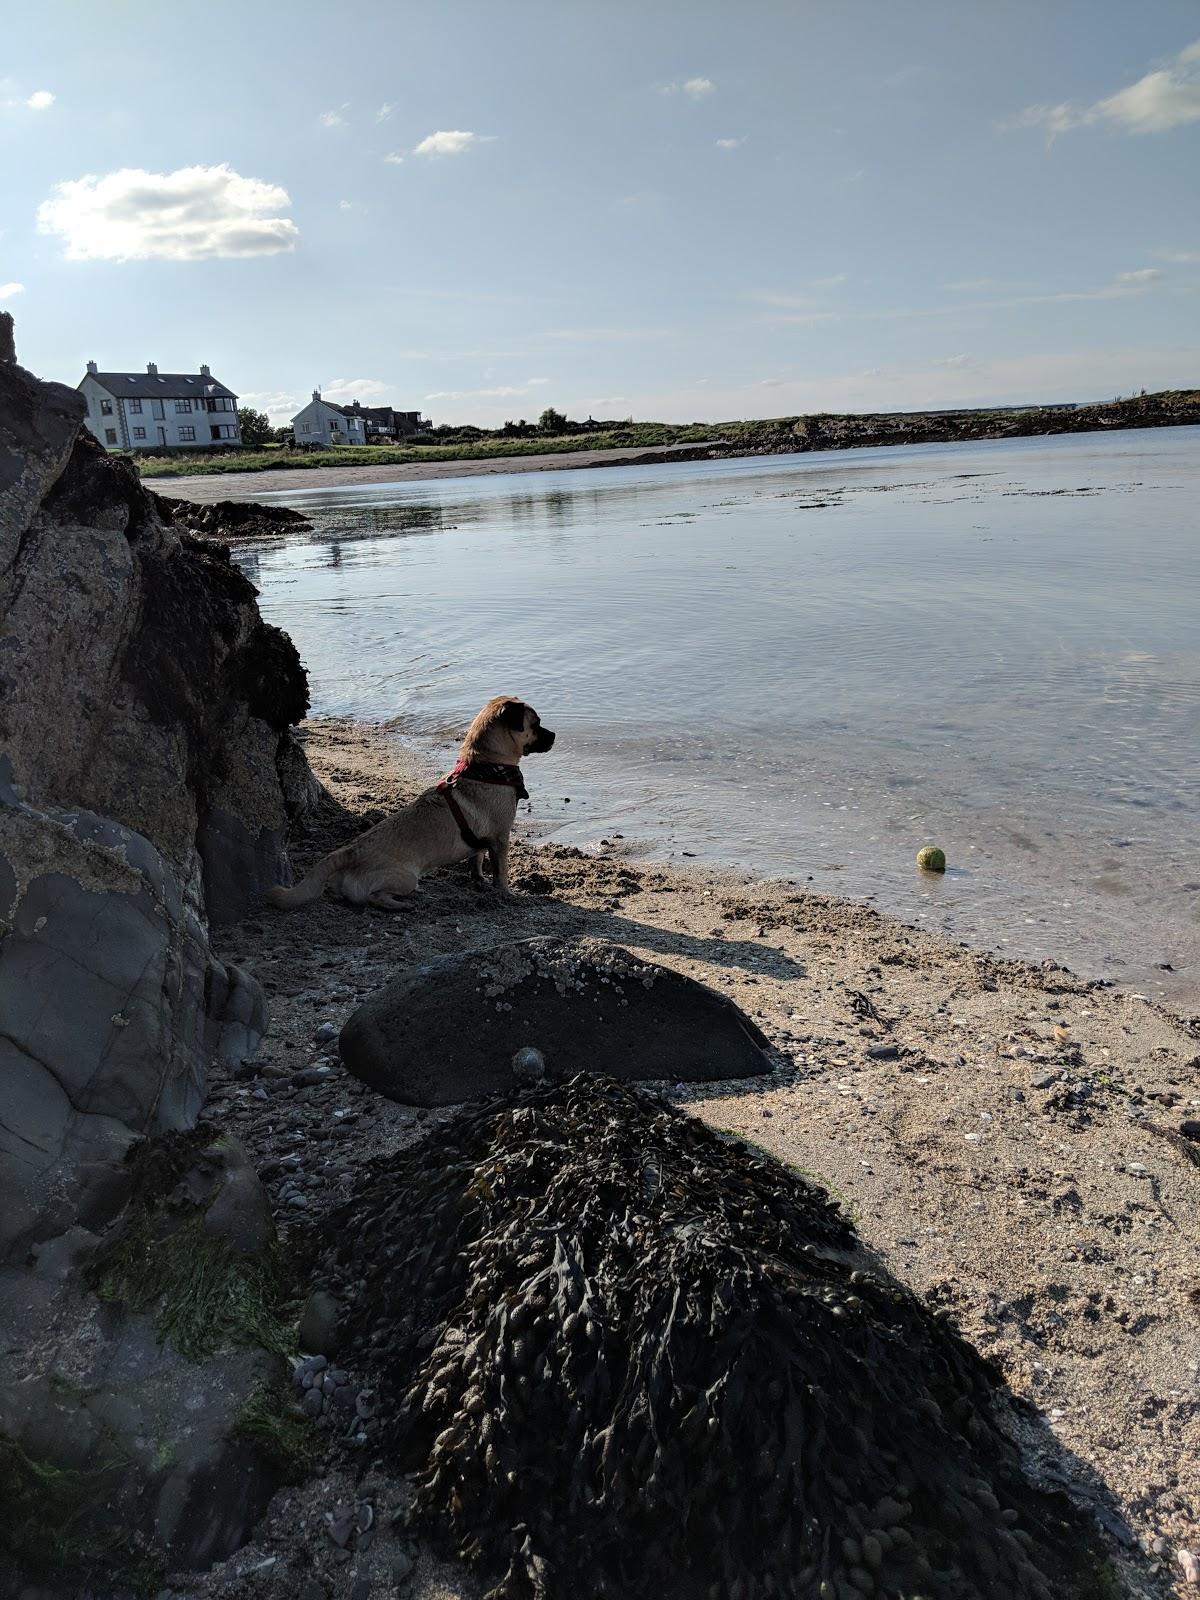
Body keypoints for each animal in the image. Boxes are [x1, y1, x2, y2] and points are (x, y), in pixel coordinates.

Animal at [265, 700, 556, 915]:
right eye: (536, 724)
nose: (554, 735)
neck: (486, 765)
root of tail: (350, 852)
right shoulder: (500, 838)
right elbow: (501, 871)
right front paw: (506, 893)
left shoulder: (483, 842)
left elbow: (477, 859)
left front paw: (479, 880)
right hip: (404, 877)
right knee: (374, 897)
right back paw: (402, 904)